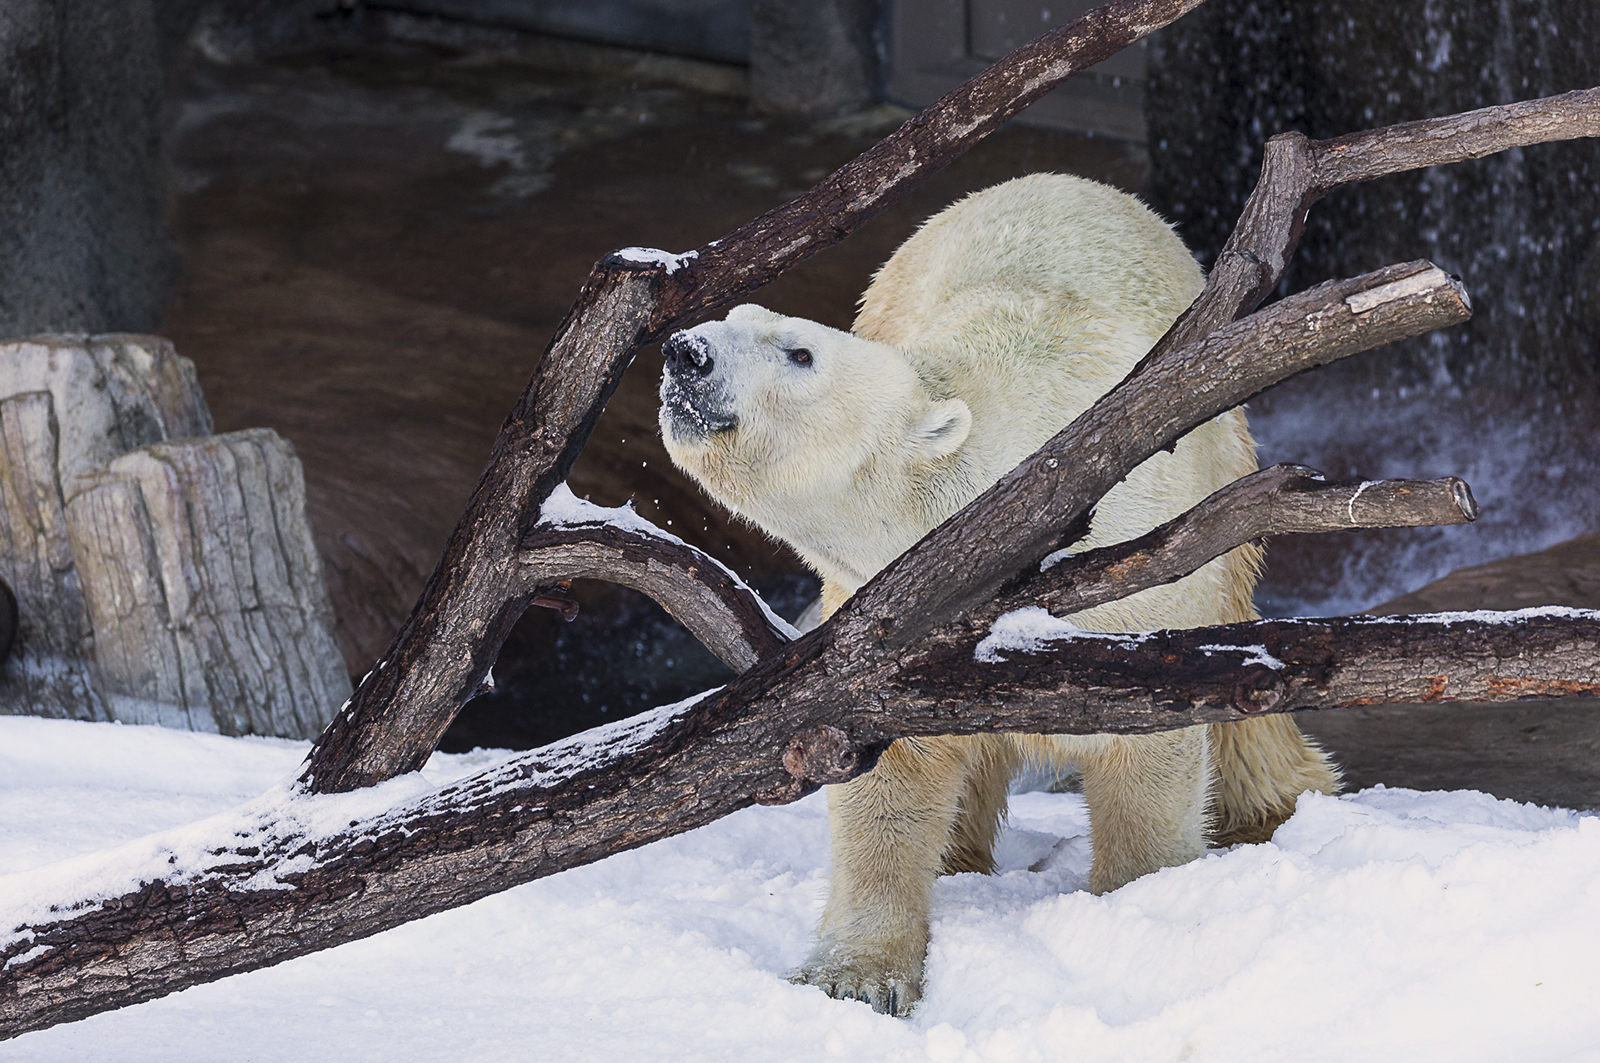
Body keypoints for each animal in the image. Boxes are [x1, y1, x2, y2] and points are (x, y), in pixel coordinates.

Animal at [656, 173, 1339, 1015]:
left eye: (801, 352)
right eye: (735, 319)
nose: (685, 351)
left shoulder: (1137, 576)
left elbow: (1149, 750)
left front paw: (1135, 910)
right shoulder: (880, 624)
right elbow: (885, 770)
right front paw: (853, 975)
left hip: (1230, 472)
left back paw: (1274, 811)